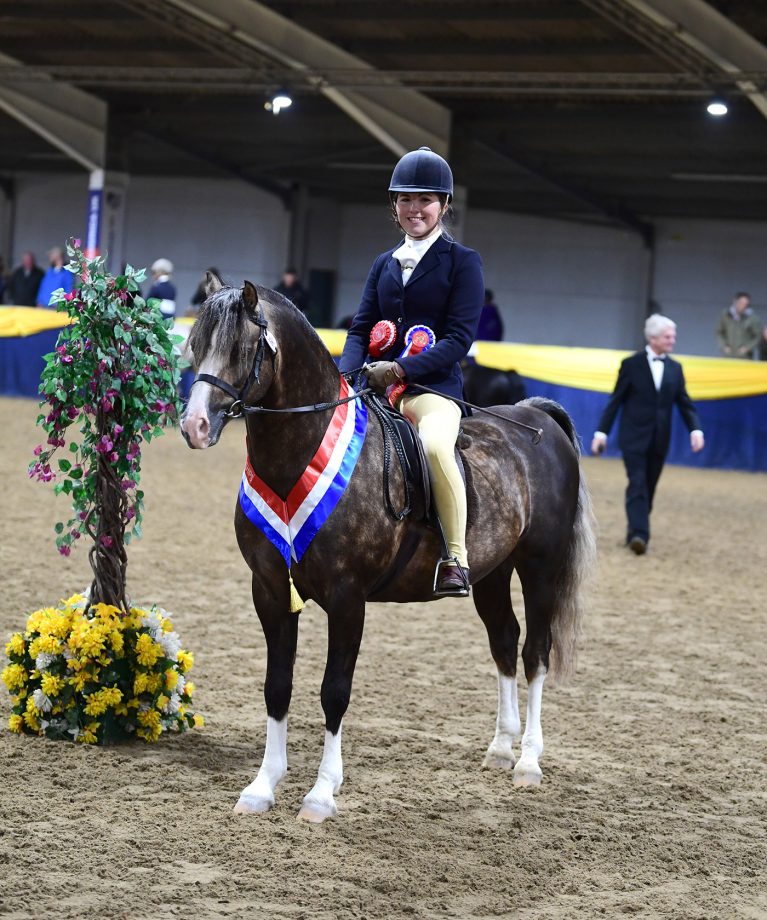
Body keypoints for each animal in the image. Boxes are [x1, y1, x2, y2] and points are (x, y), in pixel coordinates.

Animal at [180, 275, 596, 823]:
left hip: (540, 569)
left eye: (242, 348)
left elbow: (334, 692)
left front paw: (321, 794)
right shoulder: (269, 592)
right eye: (196, 344)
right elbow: (277, 687)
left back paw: (527, 761)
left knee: (535, 653)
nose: (195, 426)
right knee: (505, 642)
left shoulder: (347, 599)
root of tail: (534, 416)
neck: (298, 456)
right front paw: (262, 787)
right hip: (492, 573)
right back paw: (500, 750)